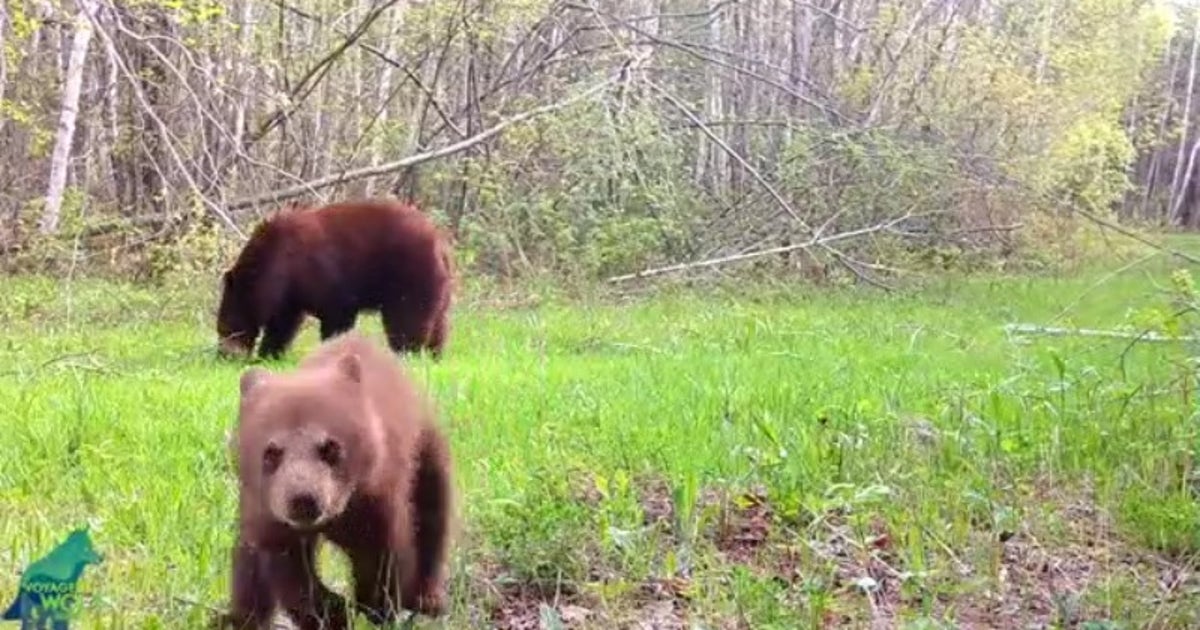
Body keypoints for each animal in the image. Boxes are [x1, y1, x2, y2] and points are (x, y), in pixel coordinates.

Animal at [215, 198, 455, 361]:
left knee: (408, 318)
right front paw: (269, 353)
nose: (224, 355)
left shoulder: (320, 274)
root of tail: (440, 244)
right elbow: (284, 323)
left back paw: (407, 353)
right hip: (440, 287)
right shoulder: (290, 293)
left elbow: (336, 315)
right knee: (438, 321)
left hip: (411, 274)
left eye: (225, 327)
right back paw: (435, 354)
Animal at [220, 331, 456, 630]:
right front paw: (334, 611)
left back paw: (428, 597)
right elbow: (287, 566)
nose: (304, 500)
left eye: (331, 447)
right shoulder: (266, 511)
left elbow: (384, 552)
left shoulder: (377, 494)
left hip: (425, 447)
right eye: (271, 452)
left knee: (434, 509)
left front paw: (378, 608)